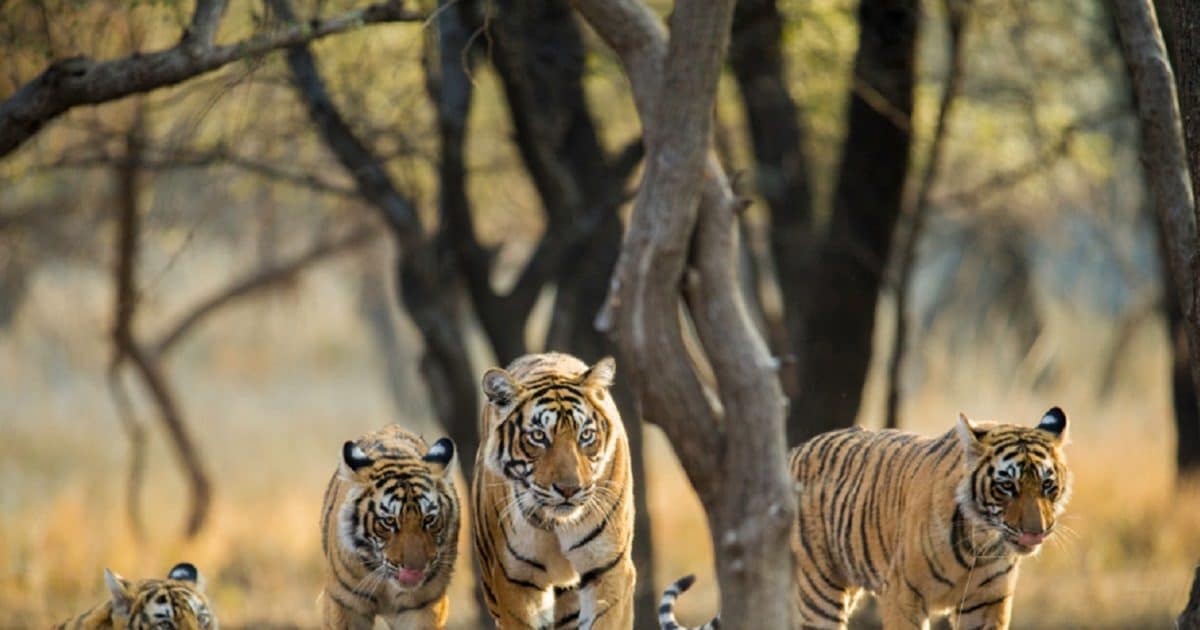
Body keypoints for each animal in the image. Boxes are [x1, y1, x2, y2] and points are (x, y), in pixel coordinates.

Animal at [788, 407, 1071, 629]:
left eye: (1047, 485)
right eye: (1007, 486)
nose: (1036, 532)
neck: (981, 544)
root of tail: (794, 451)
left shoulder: (988, 601)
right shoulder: (903, 595)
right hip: (819, 590)